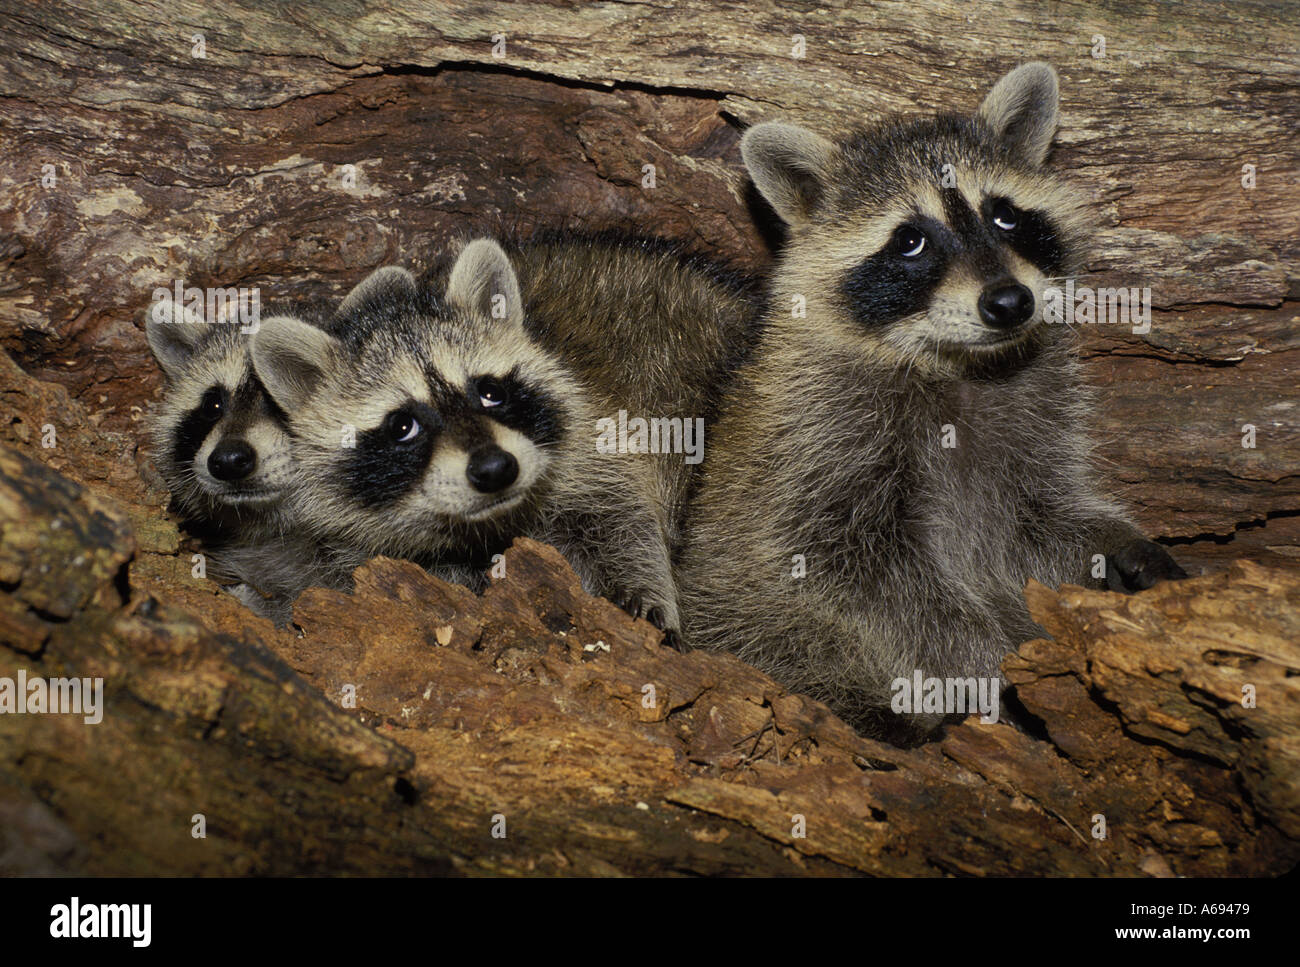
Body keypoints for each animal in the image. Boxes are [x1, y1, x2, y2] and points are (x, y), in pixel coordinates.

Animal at [250, 239, 694, 638]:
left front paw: (641, 584)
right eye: (402, 426)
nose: (495, 469)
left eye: (490, 392)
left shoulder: (590, 436)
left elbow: (618, 513)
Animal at [676, 63, 1185, 739]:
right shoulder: (820, 438)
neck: (957, 362)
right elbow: (863, 577)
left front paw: (1114, 545)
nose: (1009, 303)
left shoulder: (1035, 416)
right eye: (911, 241)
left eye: (1004, 216)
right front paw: (984, 662)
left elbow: (1037, 522)